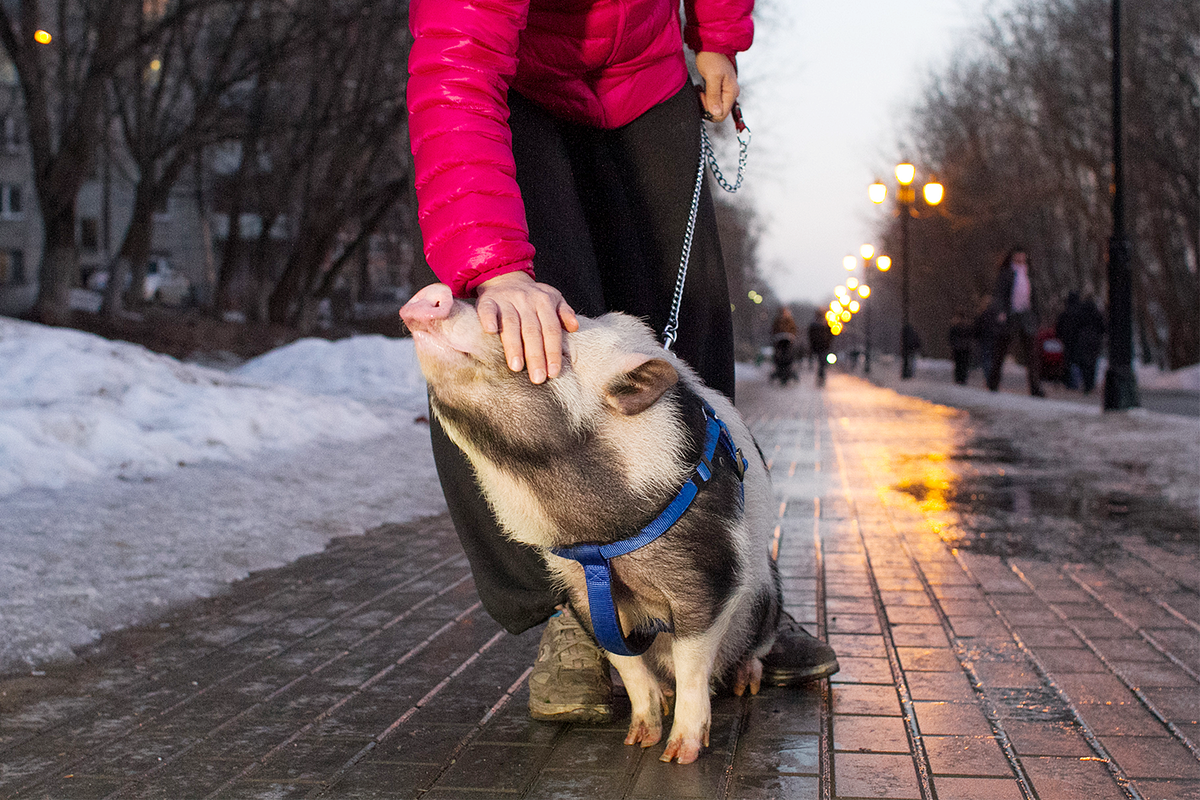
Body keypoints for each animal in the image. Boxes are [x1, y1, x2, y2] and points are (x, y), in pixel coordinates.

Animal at [398, 281, 782, 762]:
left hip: (767, 599)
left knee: (756, 645)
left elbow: (692, 663)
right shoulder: (578, 585)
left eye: (554, 347)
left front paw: (678, 755)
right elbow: (625, 662)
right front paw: (639, 737)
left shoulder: (709, 569)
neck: (597, 534)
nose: (432, 292)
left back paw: (746, 683)